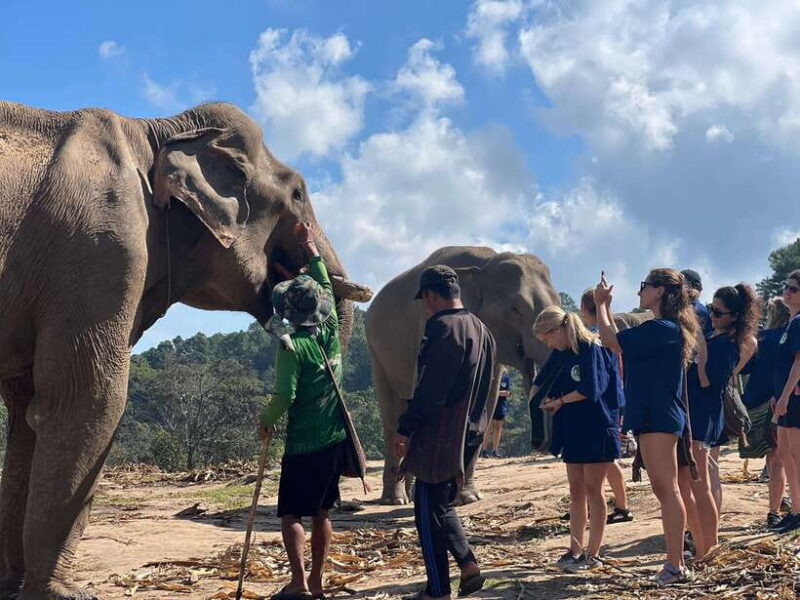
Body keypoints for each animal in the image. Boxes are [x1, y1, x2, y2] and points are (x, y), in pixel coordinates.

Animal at [0, 101, 369, 600]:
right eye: (297, 193)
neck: (157, 131)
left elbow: (26, 413)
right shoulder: (99, 251)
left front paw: (15, 587)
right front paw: (61, 593)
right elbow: (84, 399)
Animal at [365, 246, 560, 505]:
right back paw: (396, 500)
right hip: (377, 351)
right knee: (393, 412)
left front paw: (468, 497)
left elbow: (486, 400)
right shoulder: (425, 324)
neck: (486, 263)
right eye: (516, 309)